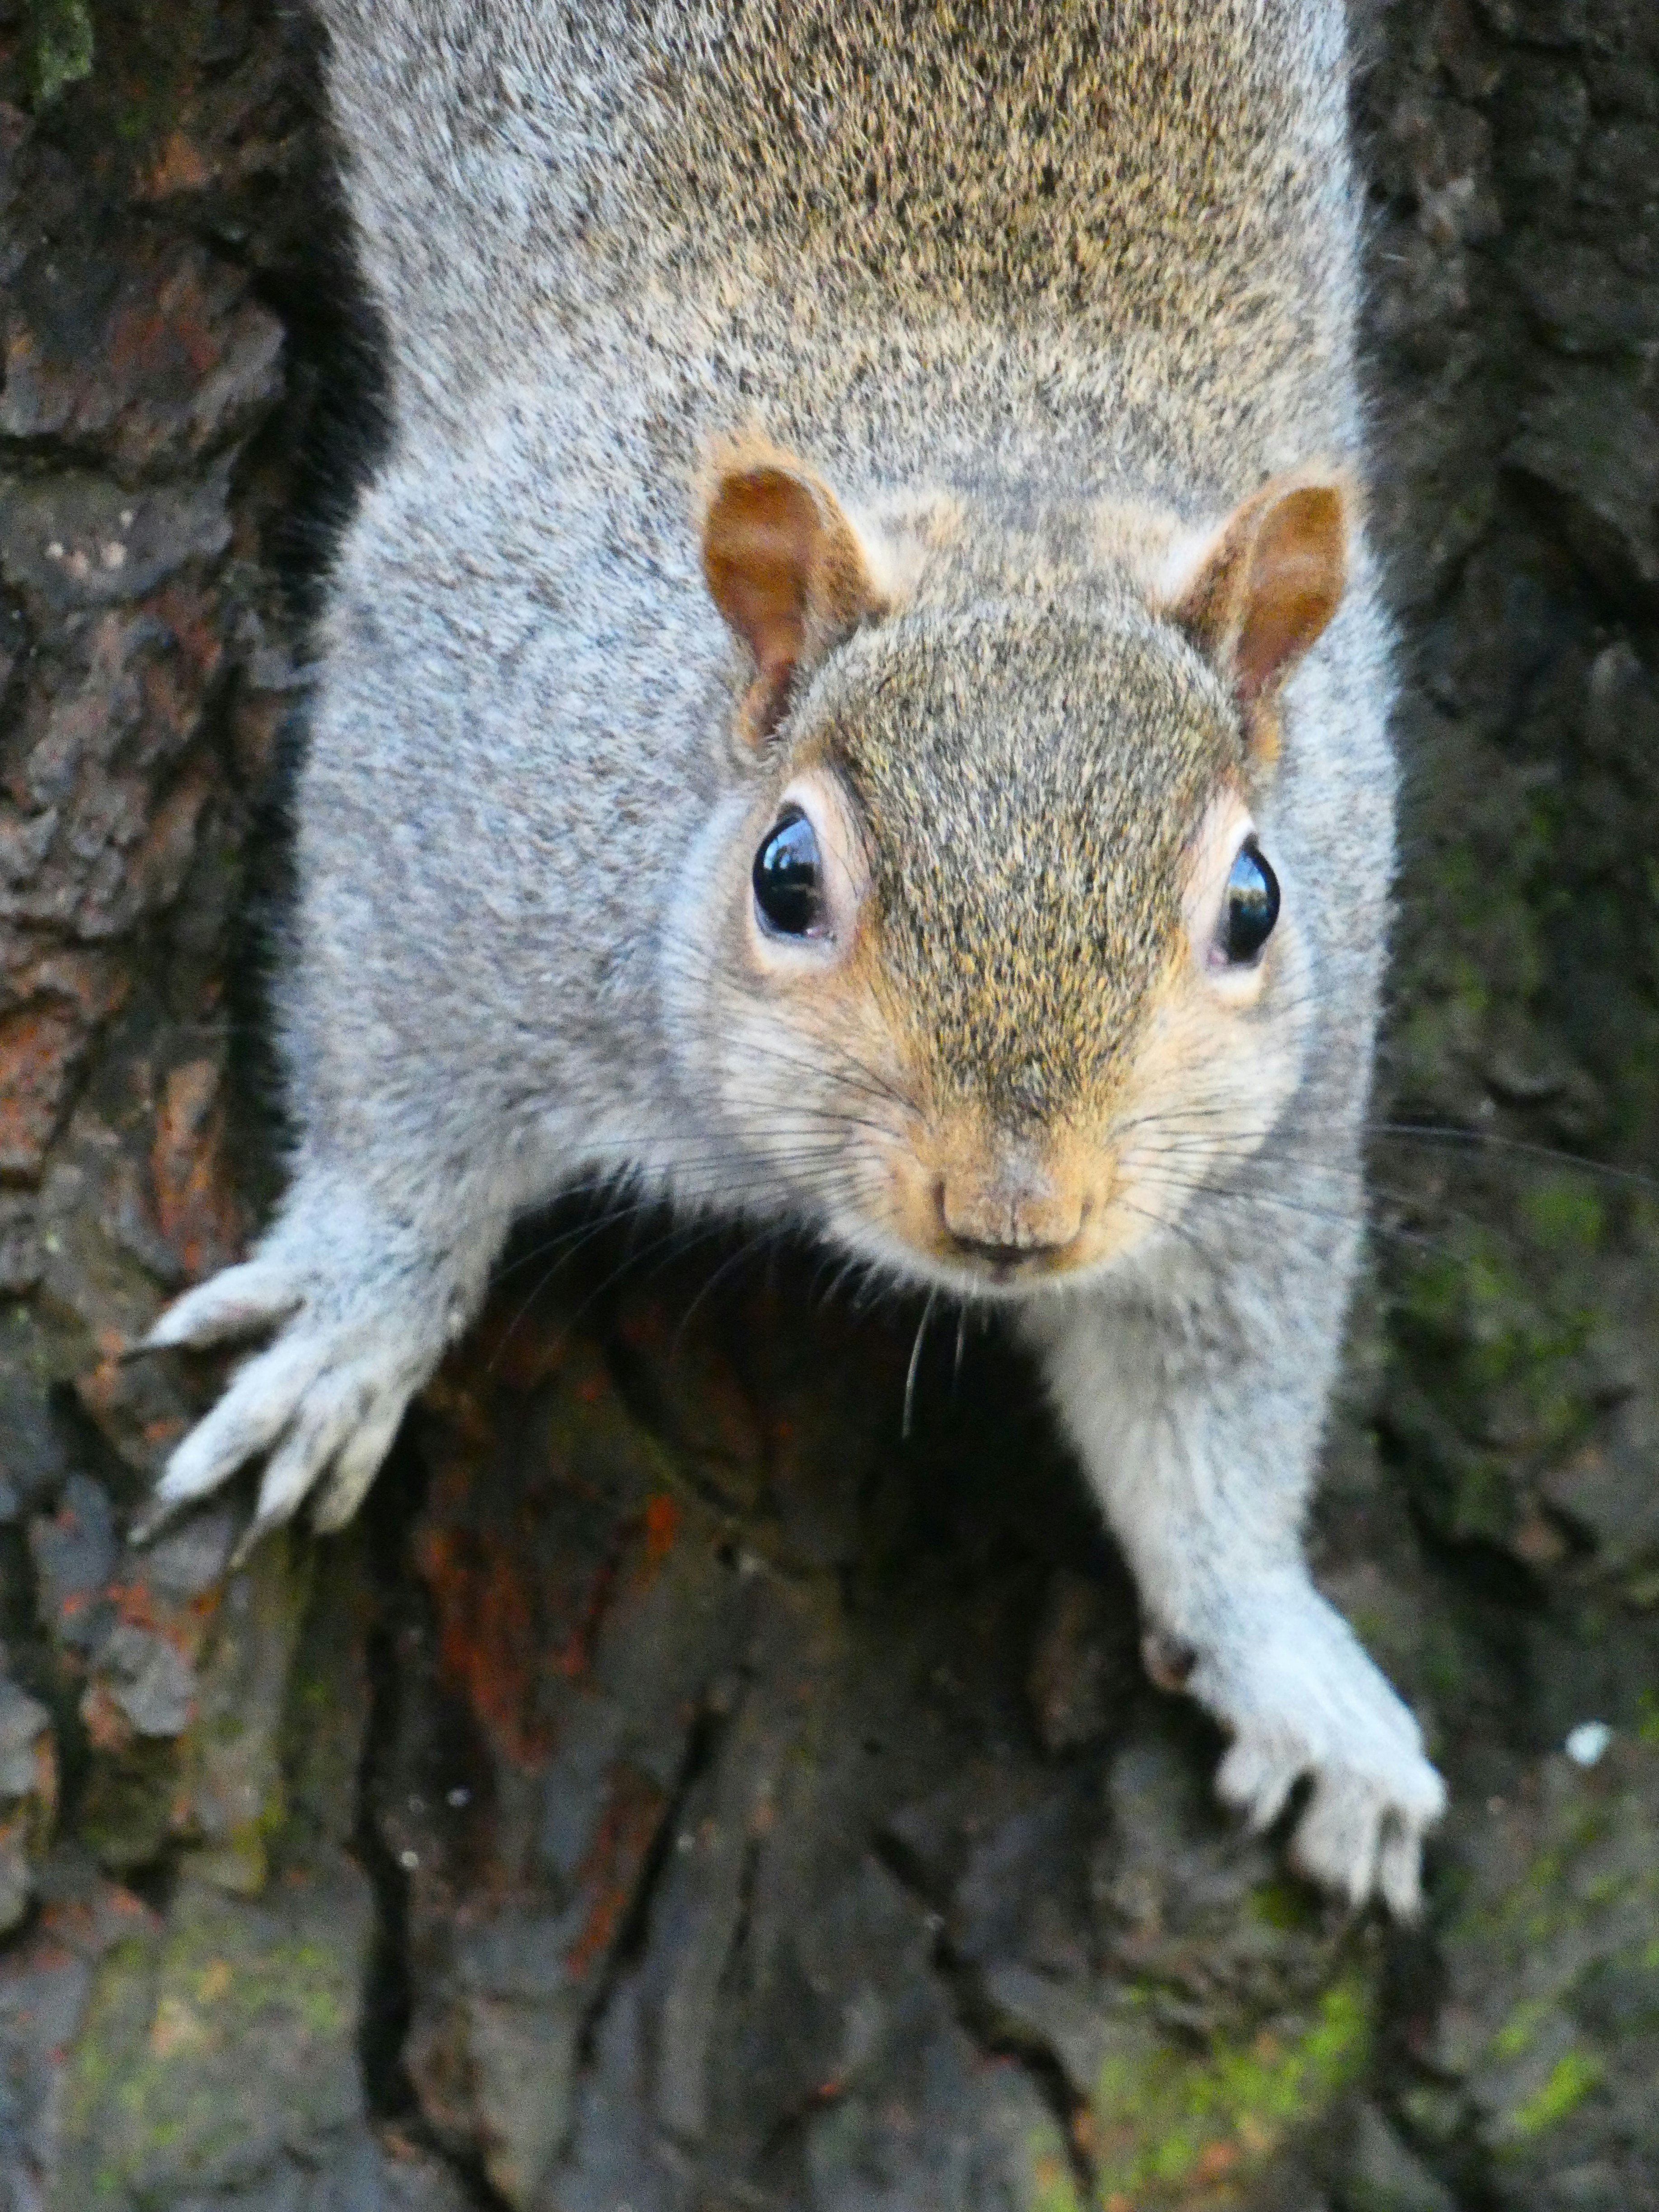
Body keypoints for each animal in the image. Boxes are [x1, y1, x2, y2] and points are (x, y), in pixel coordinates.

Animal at [136, 0, 1447, 1914]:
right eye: (786, 876)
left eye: (1255, 904)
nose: (1011, 1218)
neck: (1009, 488)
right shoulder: (451, 777)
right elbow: (395, 1086)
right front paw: (361, 1314)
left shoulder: (1274, 1122)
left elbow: (1209, 1379)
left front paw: (1283, 1655)